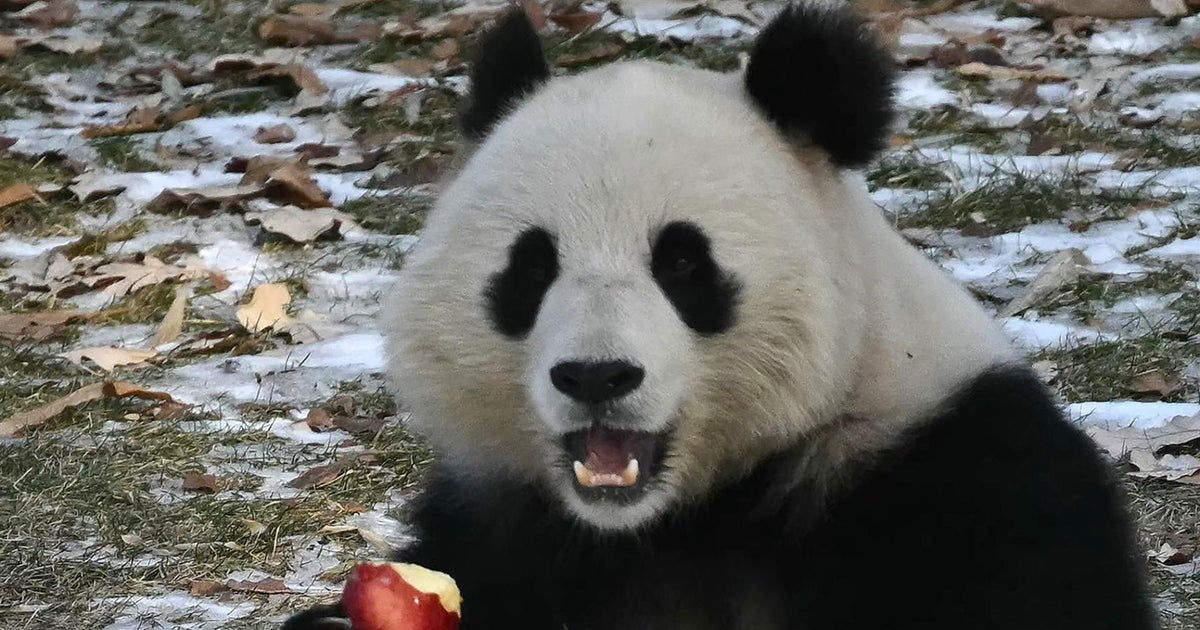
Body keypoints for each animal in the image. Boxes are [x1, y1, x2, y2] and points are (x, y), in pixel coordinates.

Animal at [285, 3, 1157, 629]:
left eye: (682, 263)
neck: (676, 517)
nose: (596, 376)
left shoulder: (958, 473)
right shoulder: (512, 531)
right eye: (531, 267)